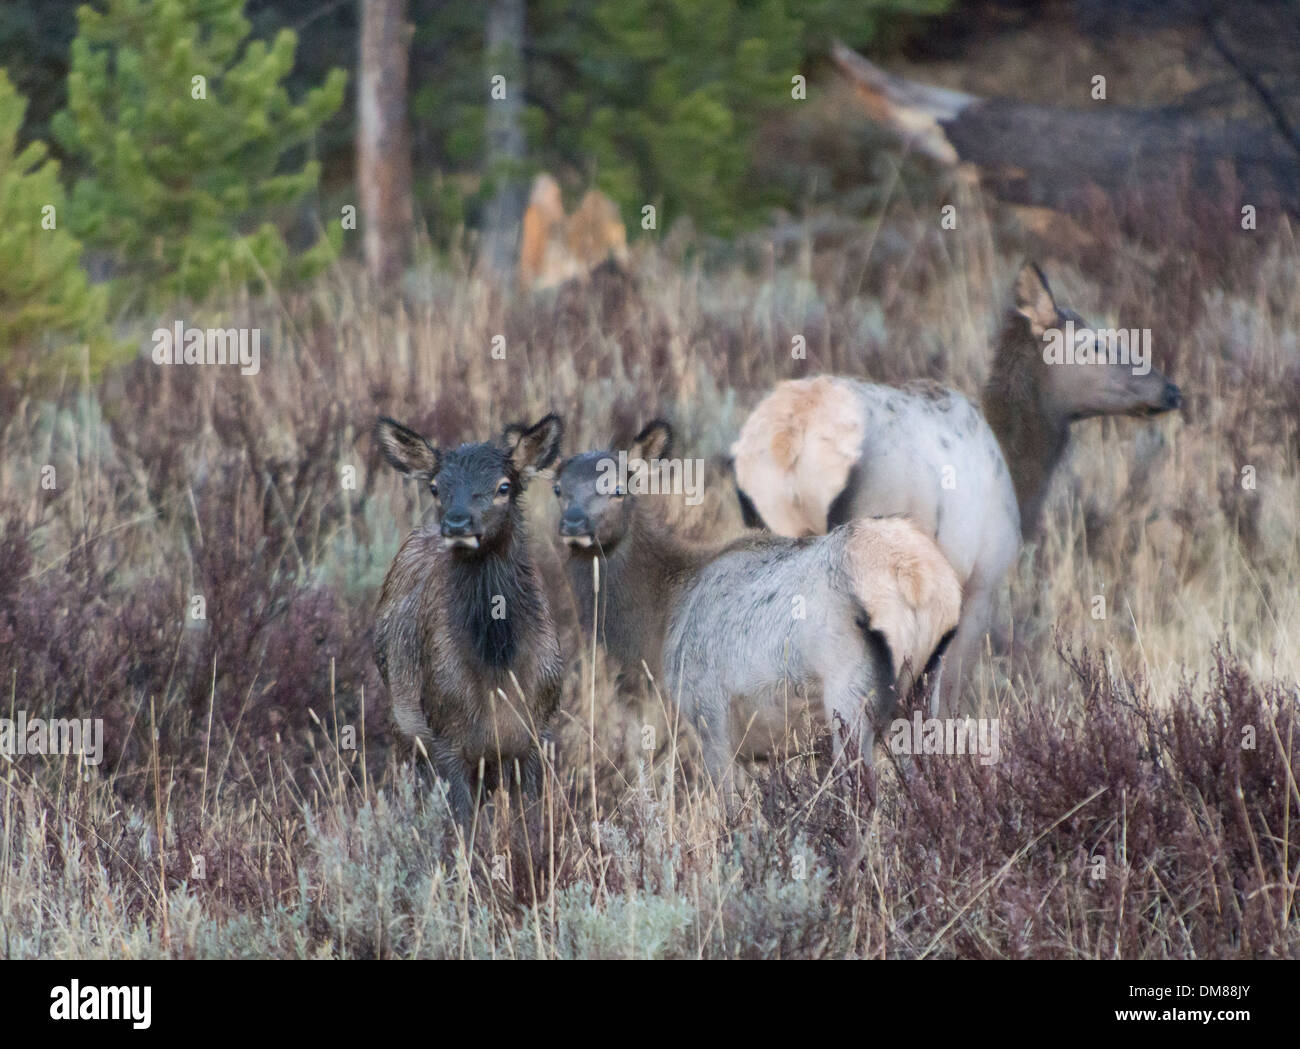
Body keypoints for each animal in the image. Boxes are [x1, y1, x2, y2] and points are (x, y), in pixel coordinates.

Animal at [372, 413, 565, 831]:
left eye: (504, 486)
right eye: (435, 487)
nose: (457, 523)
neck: (498, 668)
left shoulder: (536, 731)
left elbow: (531, 821)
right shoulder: (446, 736)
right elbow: (464, 823)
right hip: (405, 726)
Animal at [554, 420, 961, 797]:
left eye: (618, 488)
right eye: (558, 488)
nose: (572, 522)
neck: (665, 614)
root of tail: (919, 577)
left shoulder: (709, 715)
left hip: (850, 692)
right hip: (925, 689)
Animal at [731, 262, 1184, 716]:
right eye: (1095, 344)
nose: (1171, 390)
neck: (1021, 475)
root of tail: (789, 441)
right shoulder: (981, 581)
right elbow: (943, 692)